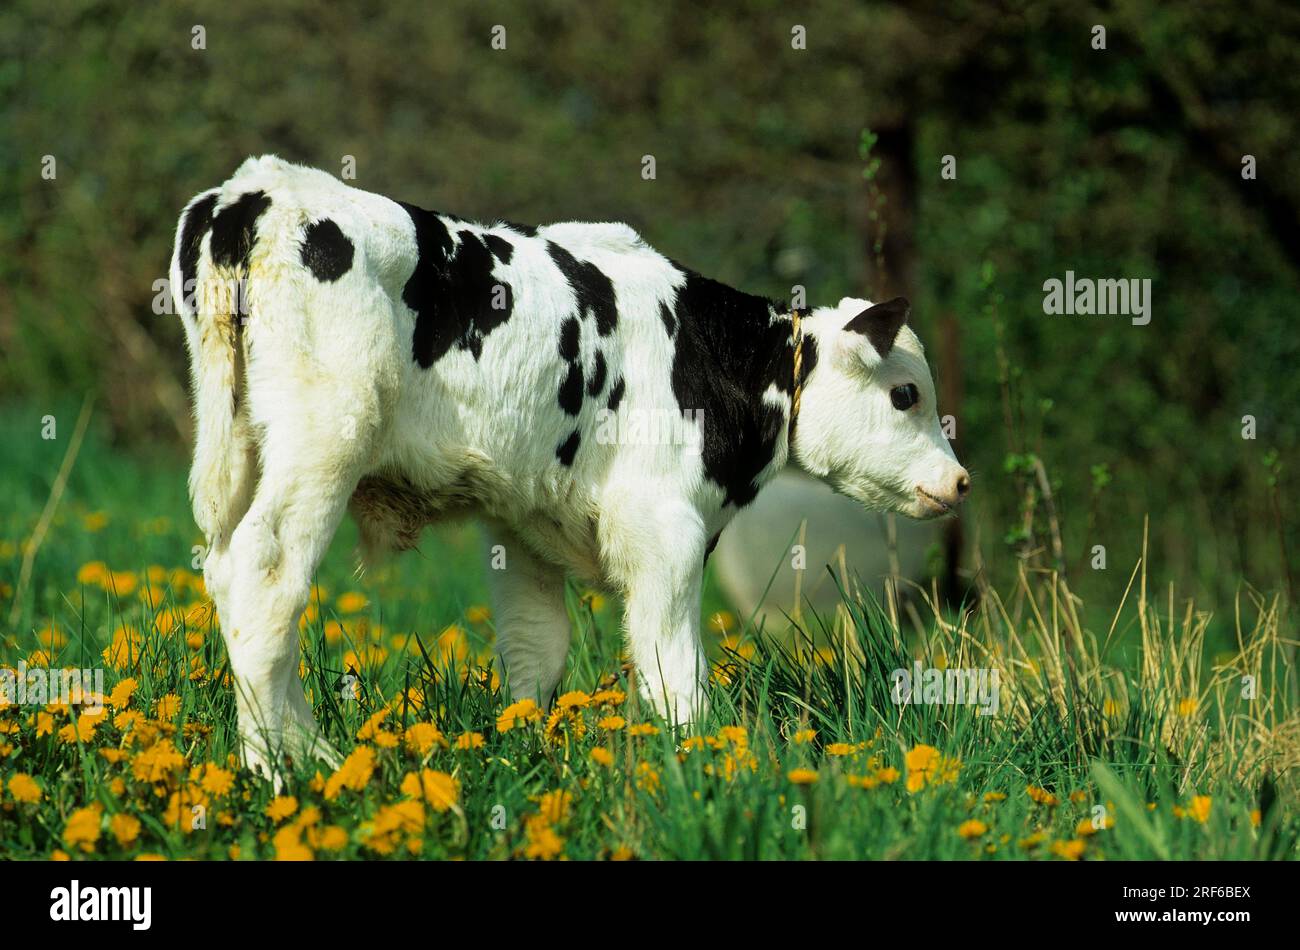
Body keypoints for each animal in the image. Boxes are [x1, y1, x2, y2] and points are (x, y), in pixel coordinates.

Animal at [170, 155, 969, 778]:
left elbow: (537, 649)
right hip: (324, 436)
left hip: (240, 445)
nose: (960, 481)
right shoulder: (665, 529)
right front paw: (703, 760)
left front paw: (525, 752)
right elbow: (674, 668)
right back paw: (284, 770)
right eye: (905, 394)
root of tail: (255, 190)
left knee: (227, 574)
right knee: (266, 575)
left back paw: (297, 754)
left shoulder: (523, 522)